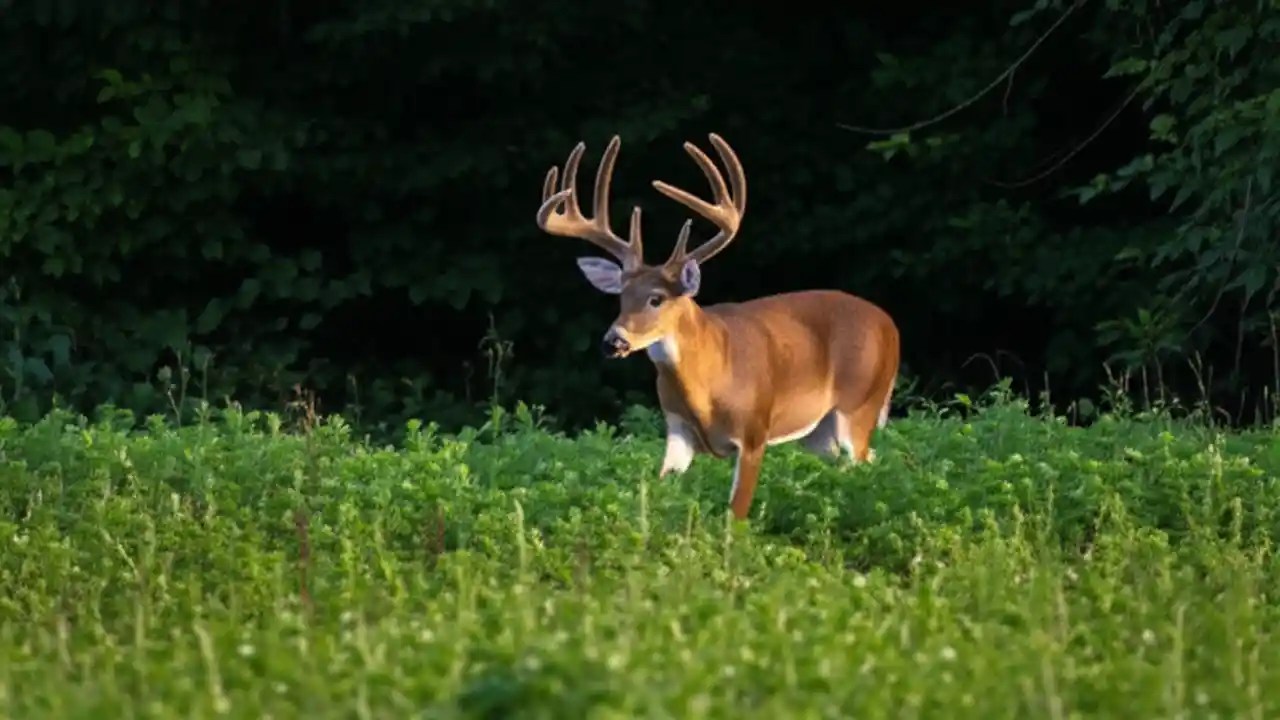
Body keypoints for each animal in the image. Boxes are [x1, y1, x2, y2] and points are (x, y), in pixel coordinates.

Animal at [533, 132, 900, 520]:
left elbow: (735, 514)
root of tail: (890, 324)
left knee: (868, 460)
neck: (707, 385)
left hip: (859, 404)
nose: (613, 342)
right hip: (819, 433)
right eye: (621, 297)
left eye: (656, 299)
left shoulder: (754, 431)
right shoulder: (676, 430)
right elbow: (658, 491)